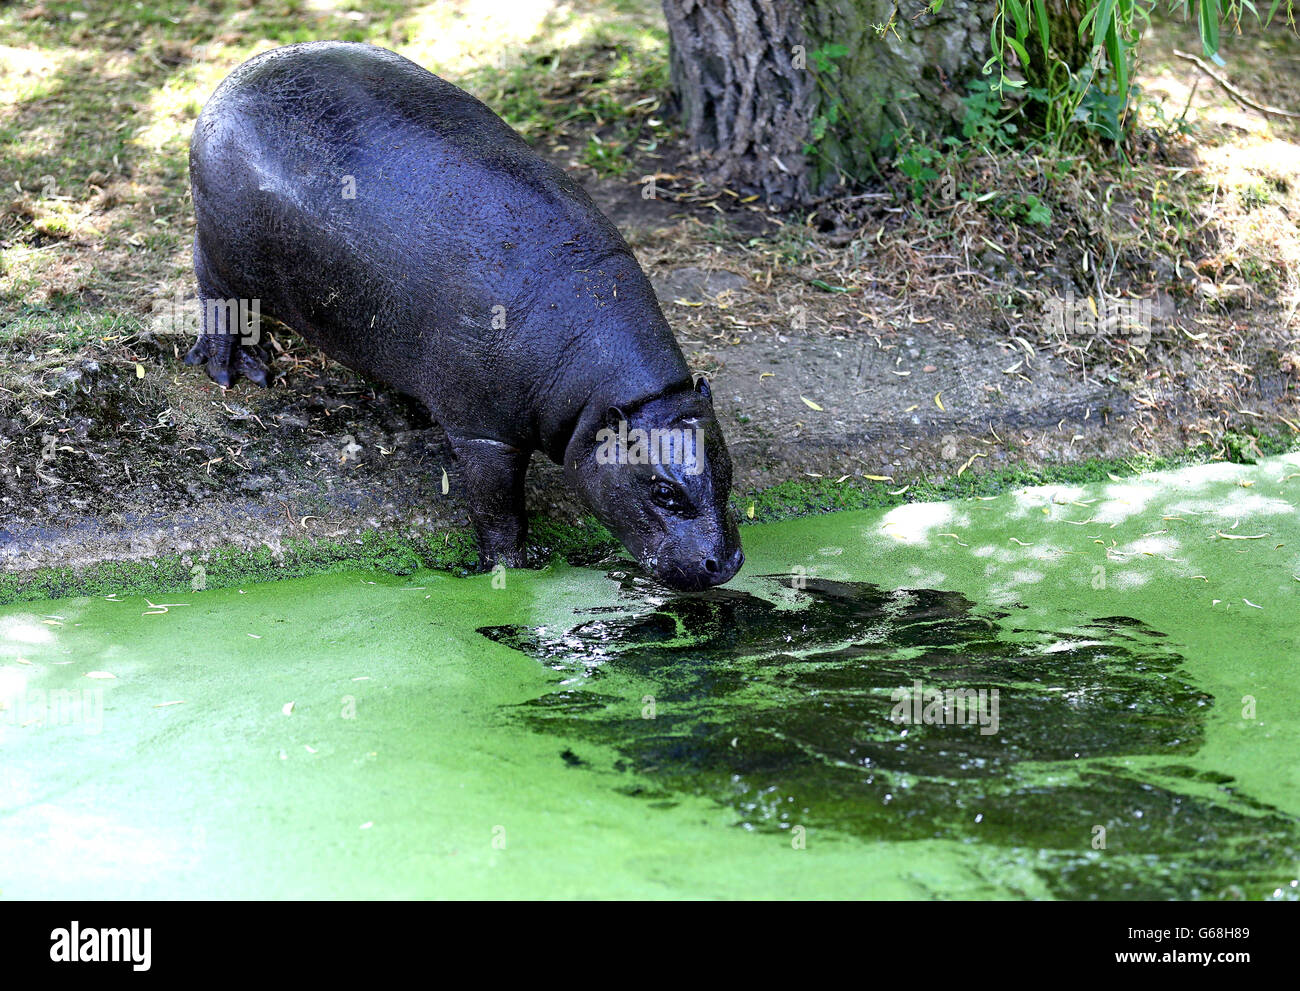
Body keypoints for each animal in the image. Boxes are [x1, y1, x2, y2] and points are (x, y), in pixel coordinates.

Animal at [185, 42, 742, 591]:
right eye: (664, 491)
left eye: (727, 467)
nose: (729, 563)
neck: (611, 395)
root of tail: (231, 79)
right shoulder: (484, 436)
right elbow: (498, 513)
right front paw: (509, 567)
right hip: (221, 256)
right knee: (217, 299)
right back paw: (236, 368)